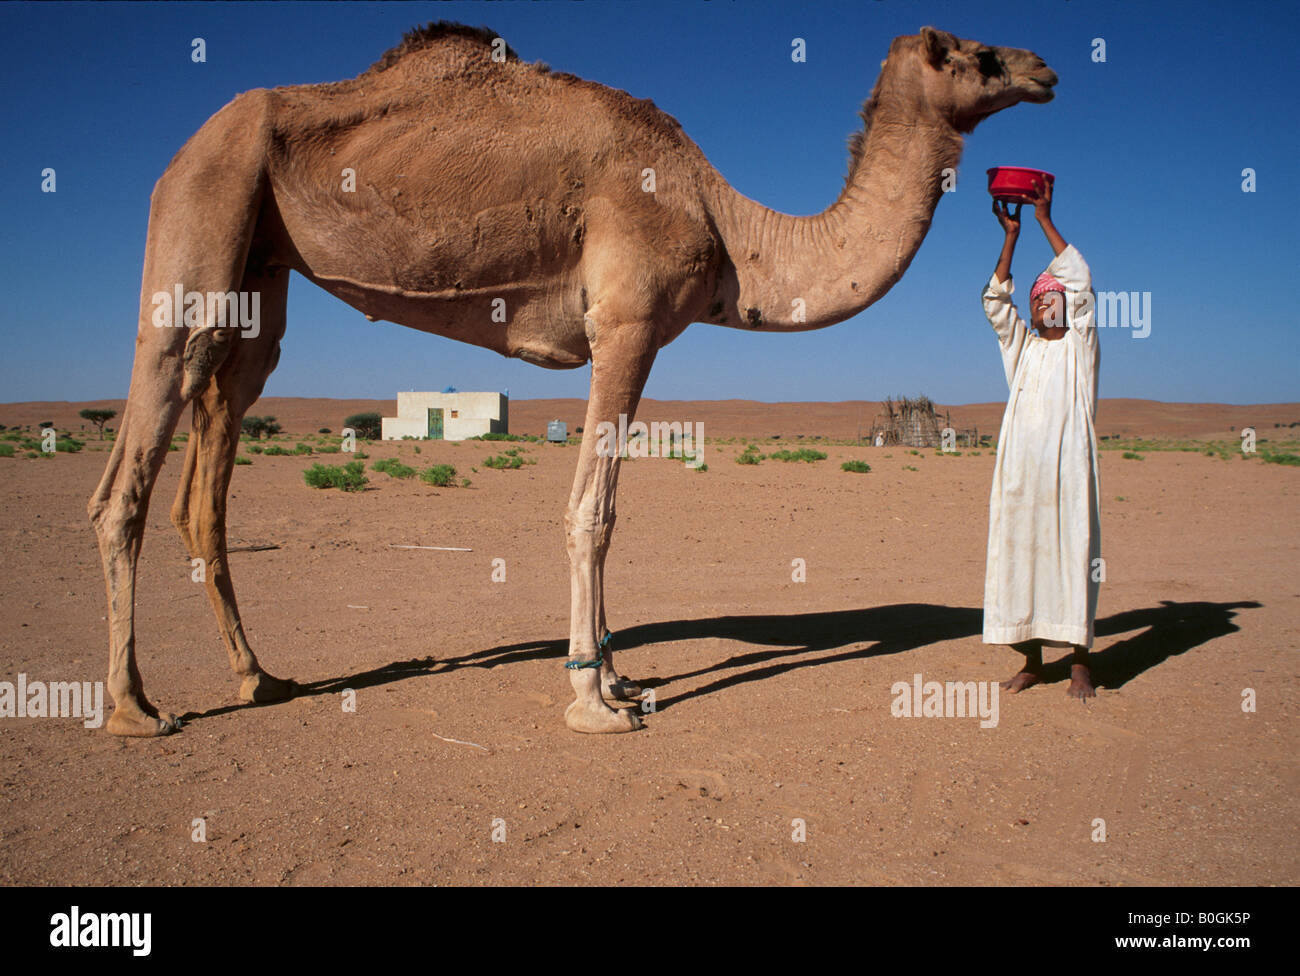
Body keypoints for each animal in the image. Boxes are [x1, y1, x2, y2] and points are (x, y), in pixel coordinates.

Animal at [88, 22, 1057, 736]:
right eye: (974, 53)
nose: (1045, 68)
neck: (731, 231)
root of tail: (189, 144)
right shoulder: (626, 323)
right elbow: (593, 512)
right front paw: (592, 699)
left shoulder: (630, 335)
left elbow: (609, 509)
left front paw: (619, 677)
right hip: (205, 205)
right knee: (131, 461)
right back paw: (135, 707)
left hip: (260, 276)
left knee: (212, 457)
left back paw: (259, 678)